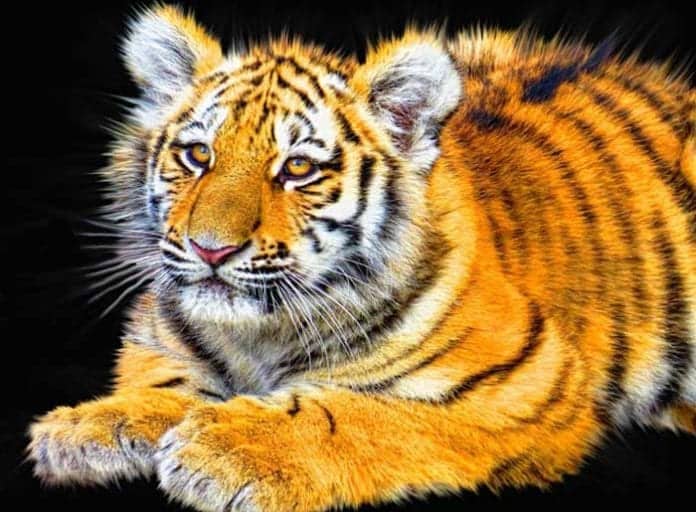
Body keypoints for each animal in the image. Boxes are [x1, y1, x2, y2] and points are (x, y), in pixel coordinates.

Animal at [27, 4, 696, 511]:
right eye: (197, 156)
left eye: (298, 168)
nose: (209, 248)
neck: (258, 337)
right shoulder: (158, 342)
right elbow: (166, 382)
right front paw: (85, 426)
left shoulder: (528, 385)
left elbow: (363, 415)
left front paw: (226, 449)